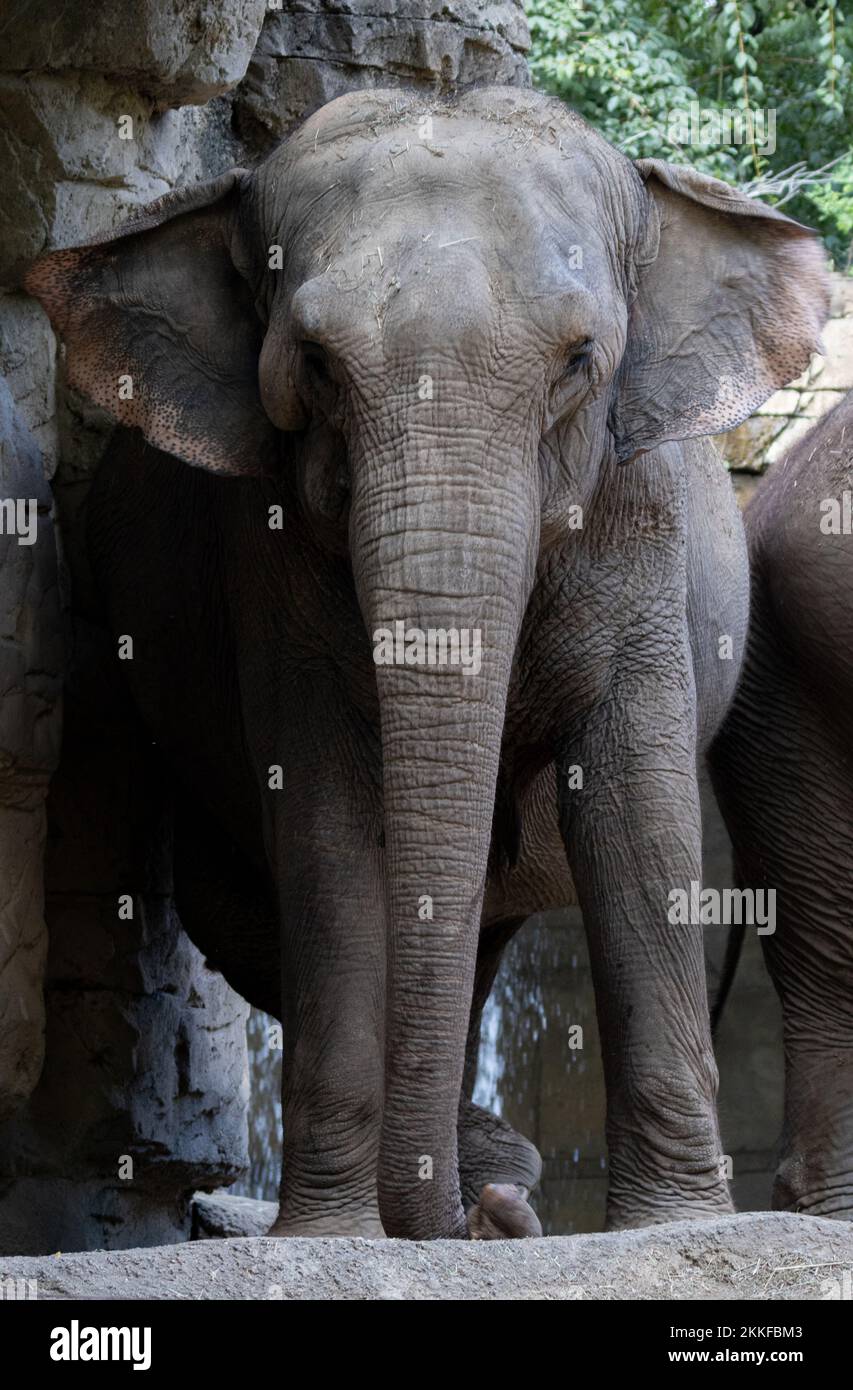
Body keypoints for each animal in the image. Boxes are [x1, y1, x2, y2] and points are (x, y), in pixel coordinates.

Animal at [26, 86, 829, 1241]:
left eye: (579, 360)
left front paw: (677, 1227)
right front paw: (335, 1237)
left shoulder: (640, 523)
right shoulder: (267, 550)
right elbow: (324, 817)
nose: (472, 1215)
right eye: (312, 365)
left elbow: (638, 810)